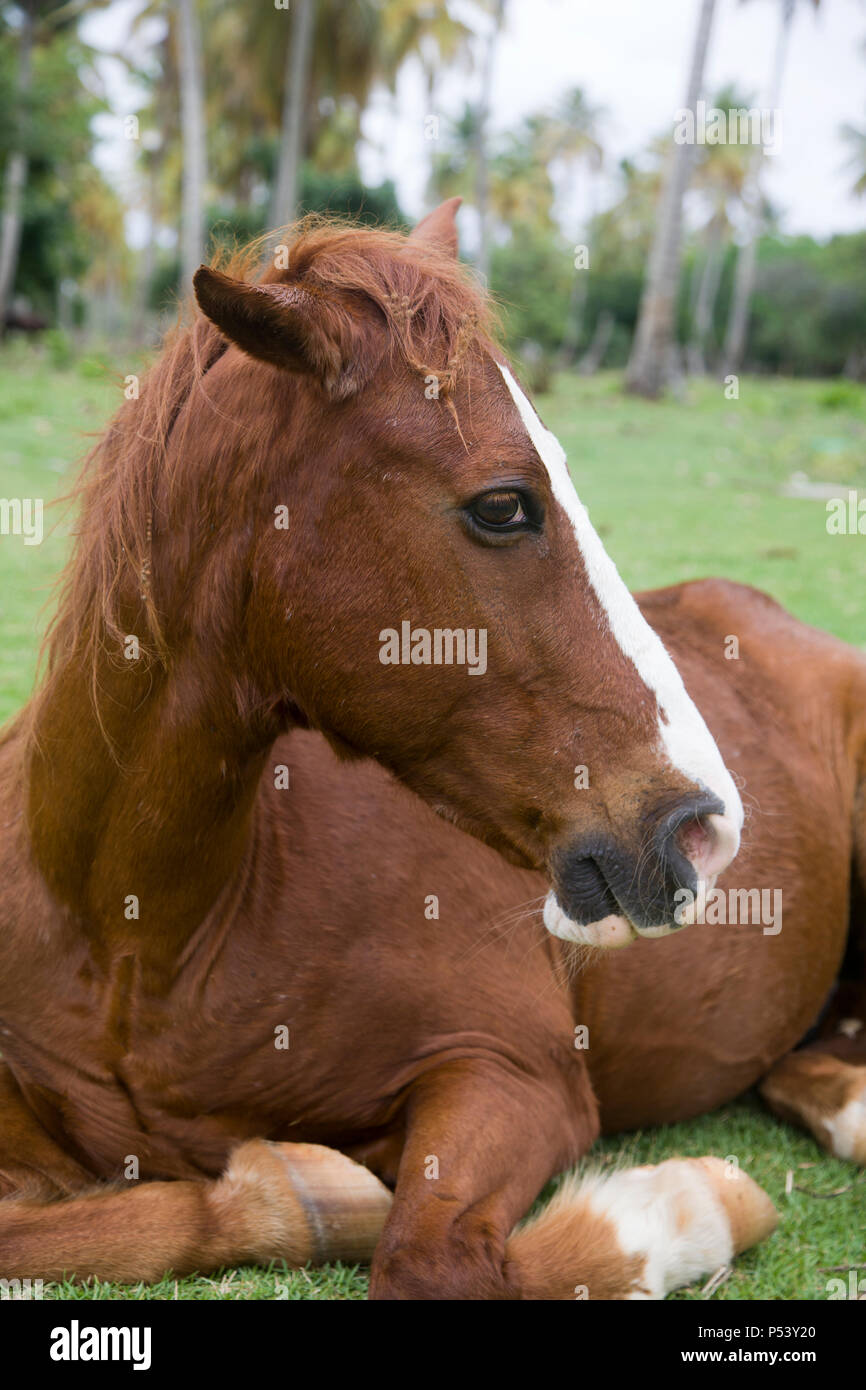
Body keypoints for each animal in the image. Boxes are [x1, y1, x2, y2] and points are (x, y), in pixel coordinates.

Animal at [0, 199, 863, 1300]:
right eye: (501, 504)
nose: (704, 827)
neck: (136, 942)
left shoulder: (516, 1070)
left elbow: (432, 1260)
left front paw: (687, 1204)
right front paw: (306, 1192)